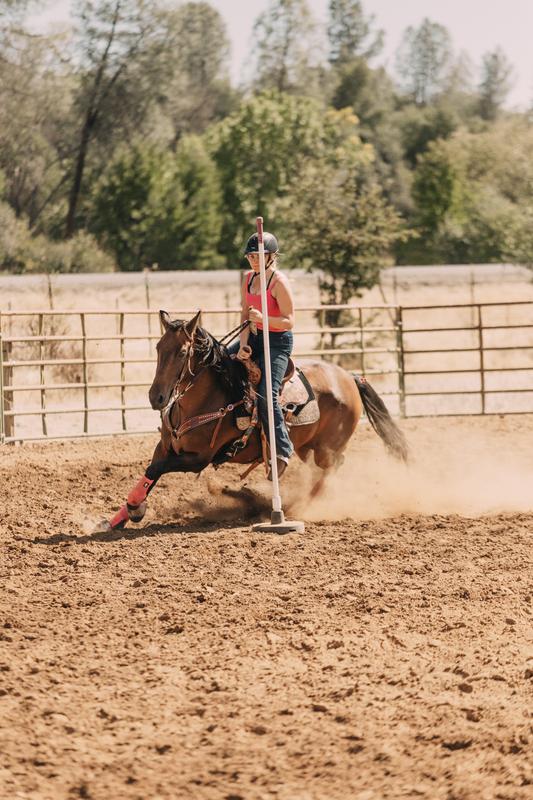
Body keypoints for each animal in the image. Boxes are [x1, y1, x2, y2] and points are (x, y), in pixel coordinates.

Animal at [102, 310, 408, 531]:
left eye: (182, 352)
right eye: (158, 347)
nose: (156, 397)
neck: (216, 394)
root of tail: (350, 377)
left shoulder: (198, 458)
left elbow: (157, 469)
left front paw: (135, 511)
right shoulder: (165, 446)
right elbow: (150, 471)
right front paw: (122, 515)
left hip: (327, 448)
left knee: (333, 466)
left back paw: (298, 507)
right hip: (307, 447)